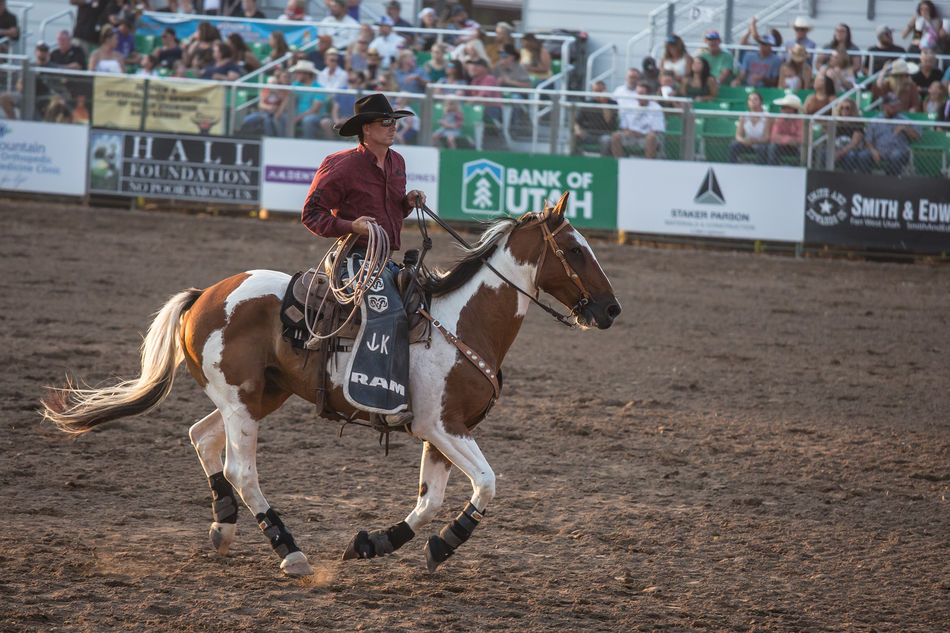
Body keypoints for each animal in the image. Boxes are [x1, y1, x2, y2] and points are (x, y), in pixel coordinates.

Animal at [41, 192, 622, 576]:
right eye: (574, 249)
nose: (612, 310)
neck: (462, 321)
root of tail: (205, 294)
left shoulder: (442, 430)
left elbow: (431, 500)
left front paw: (375, 543)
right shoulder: (443, 426)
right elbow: (486, 484)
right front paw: (441, 547)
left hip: (257, 396)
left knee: (201, 437)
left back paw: (223, 529)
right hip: (242, 401)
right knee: (240, 469)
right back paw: (289, 550)